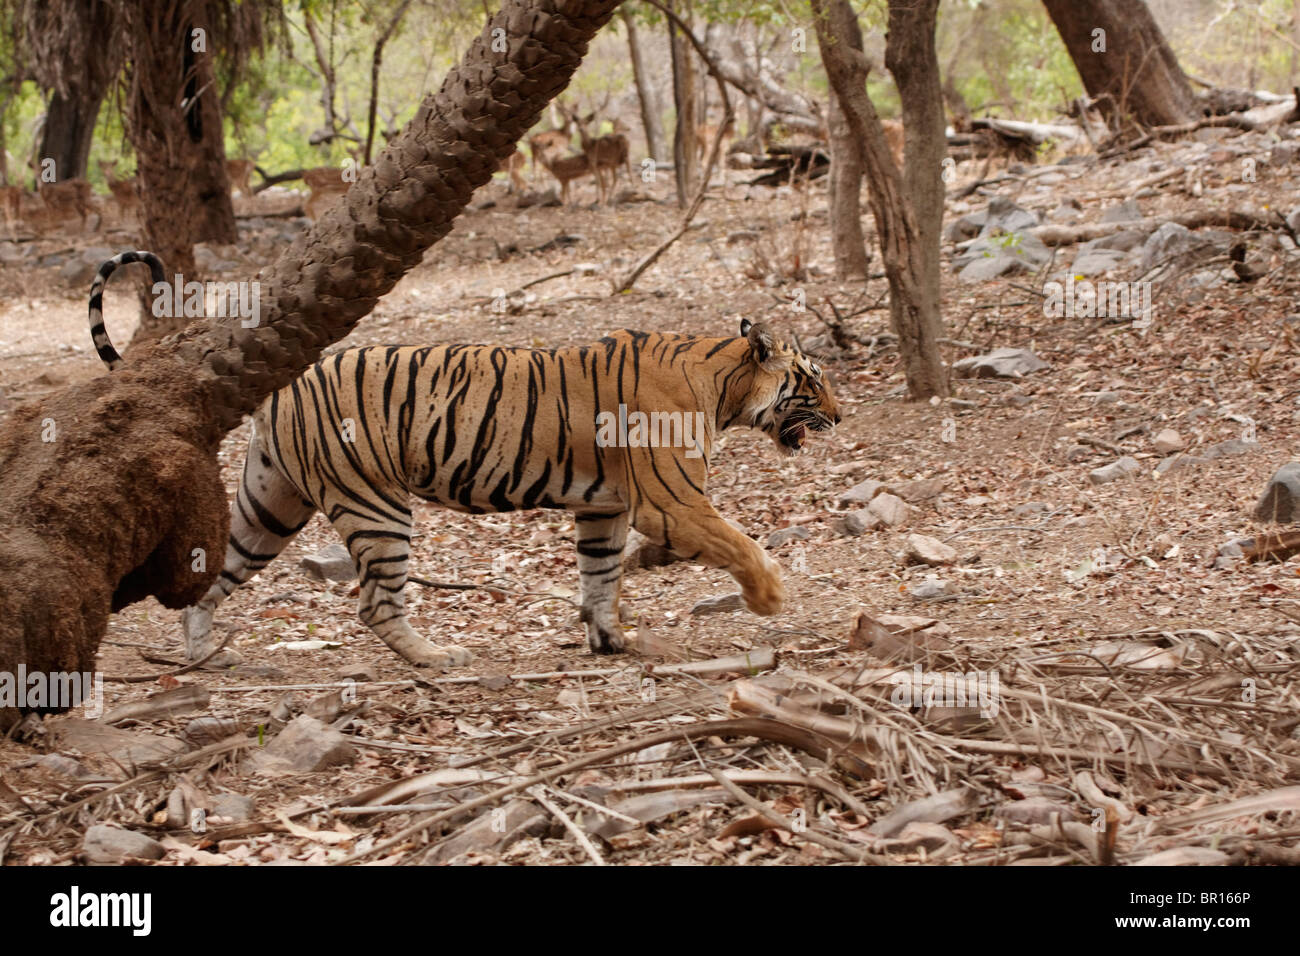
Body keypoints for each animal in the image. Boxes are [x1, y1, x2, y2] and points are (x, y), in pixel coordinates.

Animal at [89, 250, 842, 668]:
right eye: (814, 379)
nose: (840, 415)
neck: (723, 384)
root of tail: (282, 385)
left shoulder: (606, 507)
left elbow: (600, 578)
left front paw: (609, 639)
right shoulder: (671, 501)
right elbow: (737, 542)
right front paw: (770, 597)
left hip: (269, 505)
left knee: (213, 578)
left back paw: (203, 653)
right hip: (376, 505)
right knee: (376, 605)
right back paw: (437, 657)